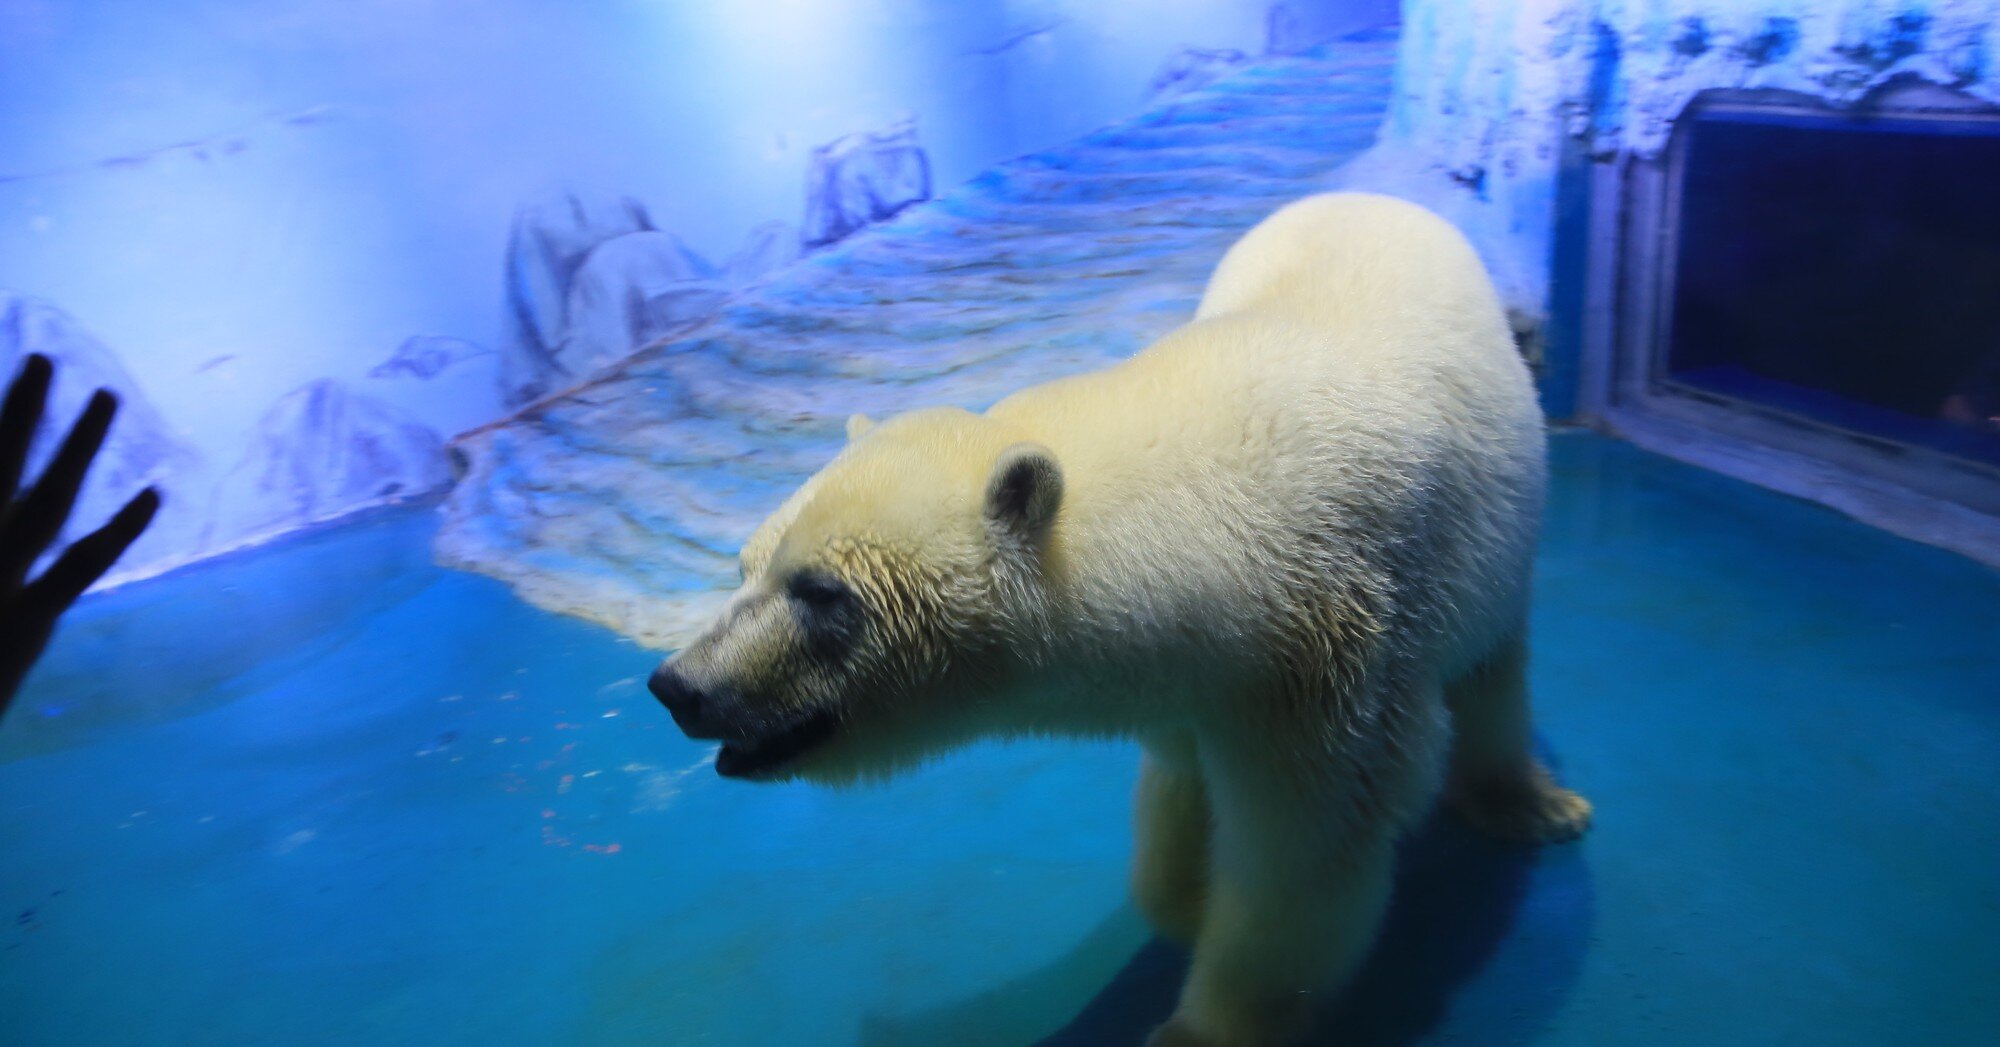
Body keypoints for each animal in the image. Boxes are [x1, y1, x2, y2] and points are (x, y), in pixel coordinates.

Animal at [648, 192, 1592, 1046]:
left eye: (820, 593)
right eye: (744, 567)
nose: (678, 686)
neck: (1213, 525)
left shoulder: (1331, 653)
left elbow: (1306, 852)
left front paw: (1204, 1024)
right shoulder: (1203, 675)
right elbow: (1183, 788)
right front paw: (1187, 899)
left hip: (1495, 532)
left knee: (1492, 669)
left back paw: (1532, 804)